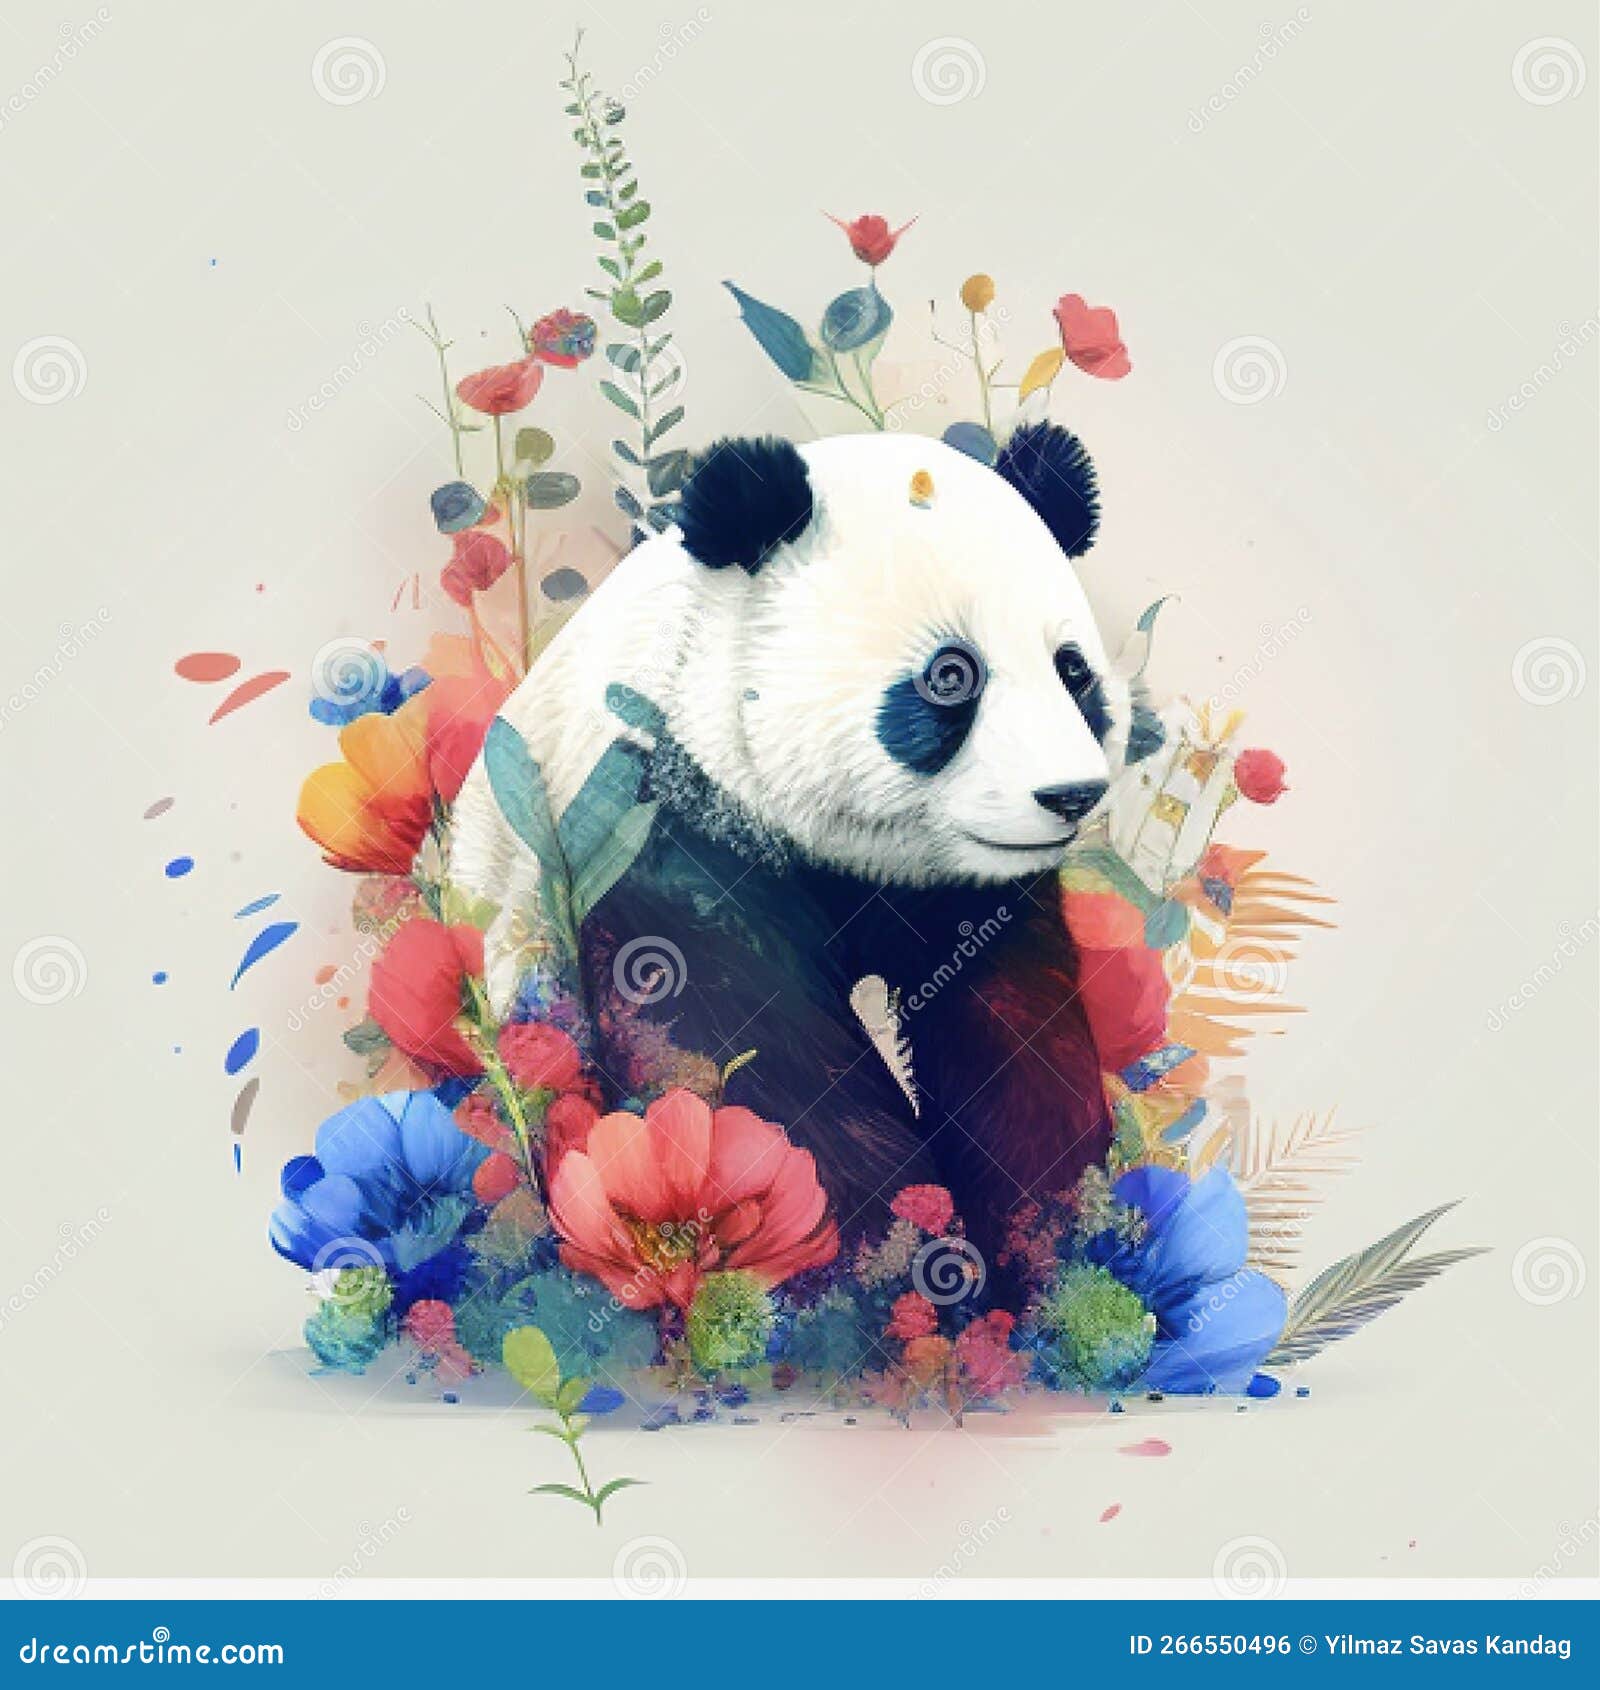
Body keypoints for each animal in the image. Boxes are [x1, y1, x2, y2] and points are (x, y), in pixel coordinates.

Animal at [447, 424, 1153, 1269]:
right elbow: (751, 1068)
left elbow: (1017, 1036)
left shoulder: (971, 893)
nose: (1069, 795)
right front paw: (898, 1259)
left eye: (1073, 672)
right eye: (950, 678)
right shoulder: (656, 825)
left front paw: (1045, 1245)